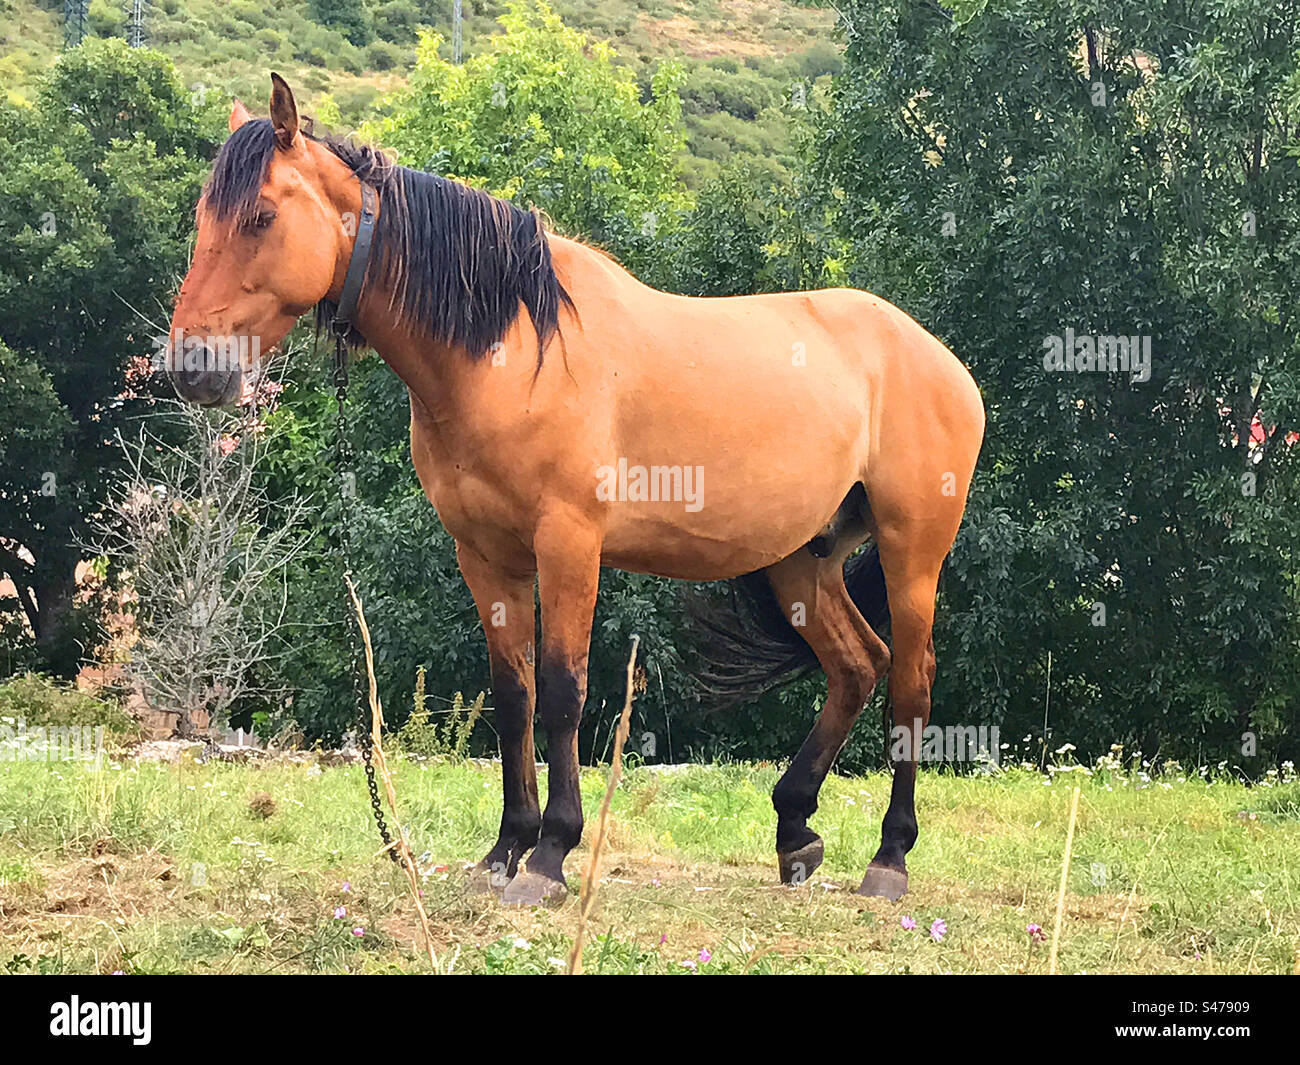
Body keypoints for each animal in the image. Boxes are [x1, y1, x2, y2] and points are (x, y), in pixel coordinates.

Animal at [167, 76, 985, 906]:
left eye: (261, 216)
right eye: (204, 218)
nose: (192, 367)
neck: (514, 345)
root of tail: (939, 360)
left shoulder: (568, 542)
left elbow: (563, 689)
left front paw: (550, 854)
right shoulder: (485, 554)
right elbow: (514, 695)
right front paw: (504, 848)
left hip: (911, 553)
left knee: (910, 681)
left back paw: (889, 858)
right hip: (799, 558)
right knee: (857, 665)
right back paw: (795, 833)